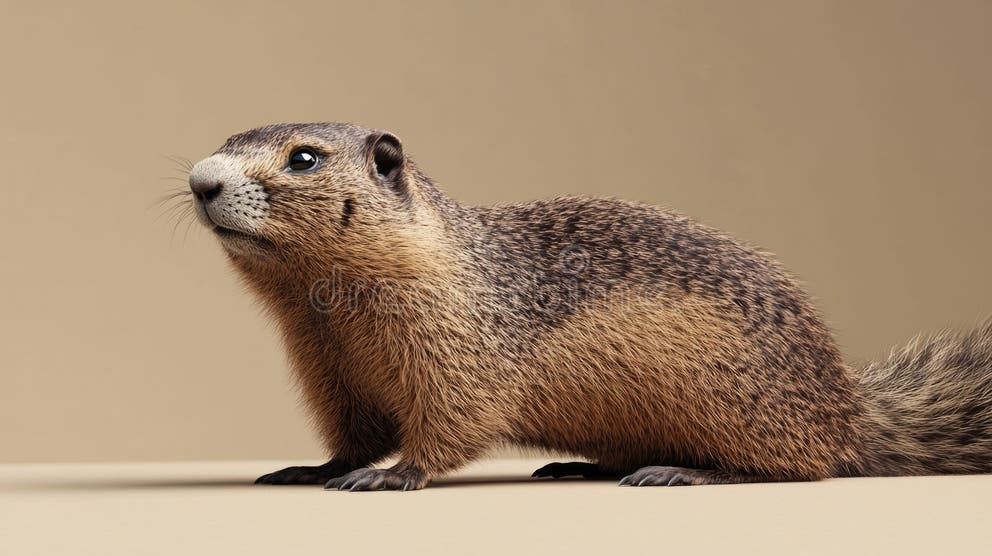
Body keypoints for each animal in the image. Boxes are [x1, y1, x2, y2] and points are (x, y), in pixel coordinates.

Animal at [186, 122, 992, 490]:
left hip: (749, 410)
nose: (199, 179)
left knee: (802, 468)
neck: (325, 306)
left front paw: (393, 475)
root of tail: (853, 413)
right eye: (224, 137)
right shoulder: (329, 368)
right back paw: (582, 467)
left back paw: (683, 473)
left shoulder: (453, 342)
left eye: (304, 158)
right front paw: (313, 468)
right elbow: (354, 430)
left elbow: (453, 419)